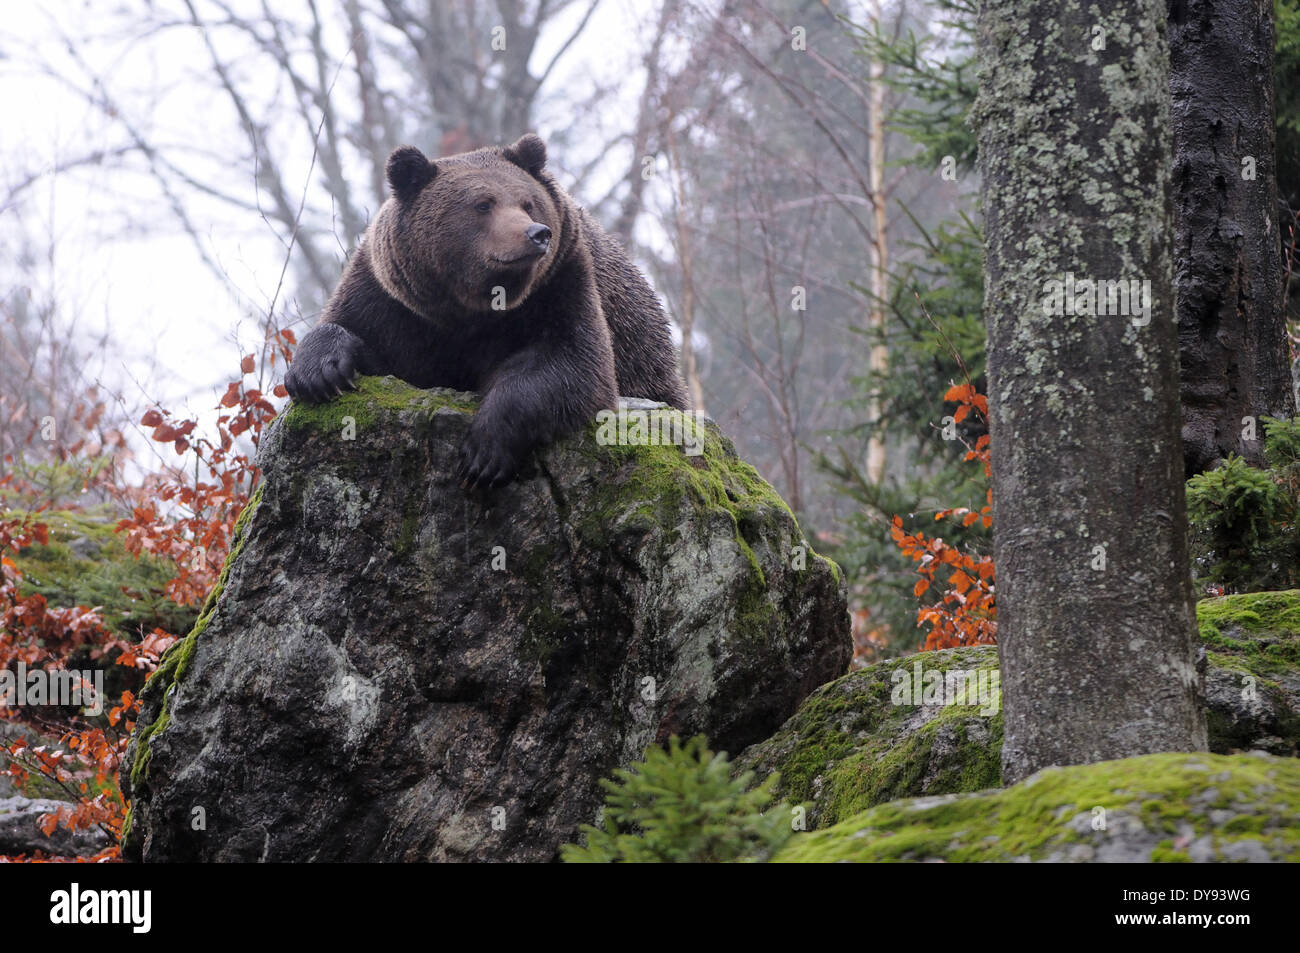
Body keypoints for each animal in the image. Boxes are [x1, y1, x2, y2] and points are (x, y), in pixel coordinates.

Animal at [284, 133, 689, 489]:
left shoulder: (560, 286)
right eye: (482, 203)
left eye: (527, 202)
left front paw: (483, 454)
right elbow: (356, 333)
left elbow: (570, 363)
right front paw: (320, 374)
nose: (537, 234)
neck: (472, 310)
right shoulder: (393, 302)